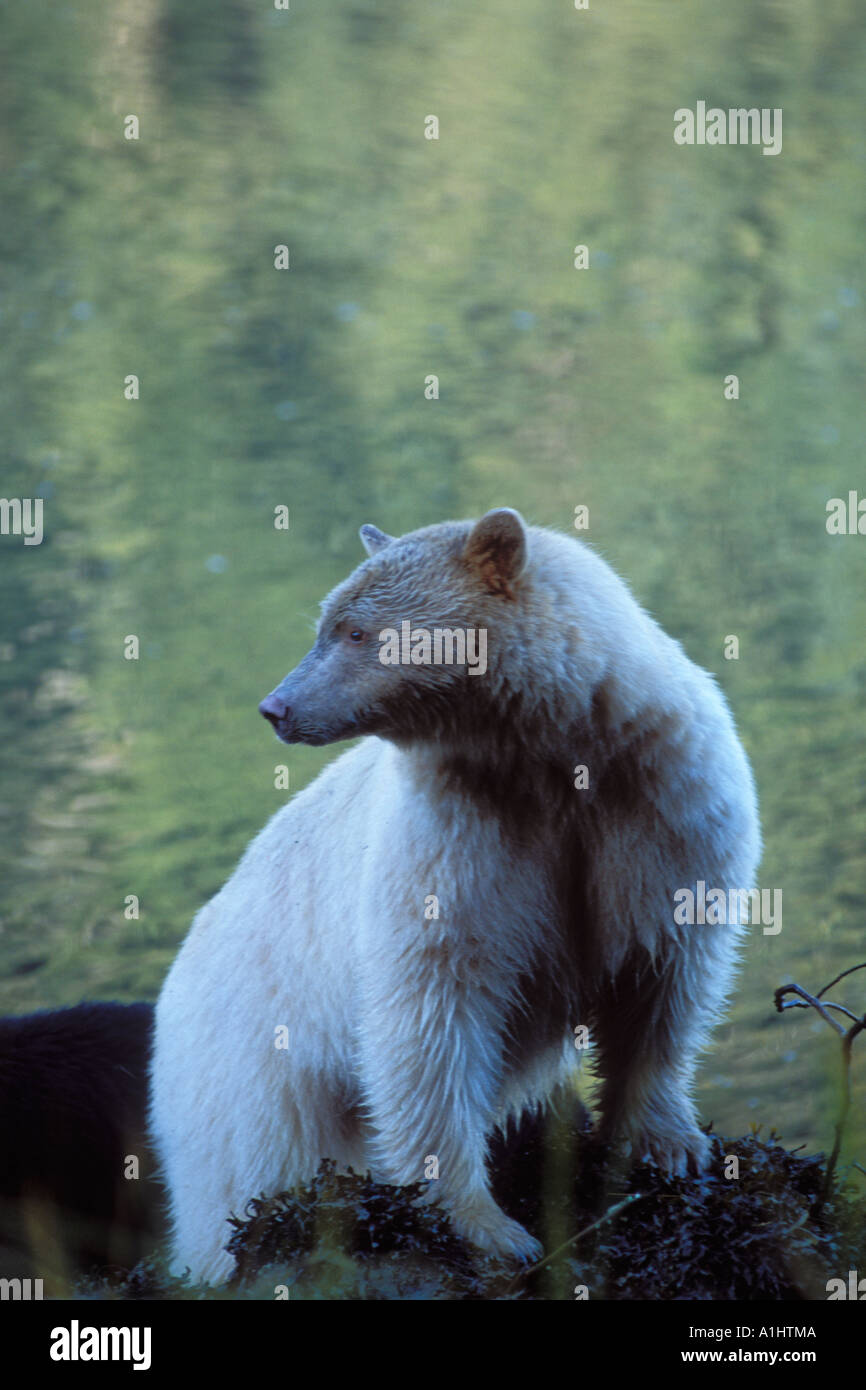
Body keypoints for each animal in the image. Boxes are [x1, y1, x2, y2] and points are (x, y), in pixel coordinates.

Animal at [150, 507, 760, 1283]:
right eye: (329, 622)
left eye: (353, 630)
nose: (276, 706)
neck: (550, 748)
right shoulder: (457, 835)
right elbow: (432, 1012)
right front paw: (489, 1227)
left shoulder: (662, 800)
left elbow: (663, 974)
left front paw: (669, 1146)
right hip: (253, 1071)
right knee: (249, 1170)